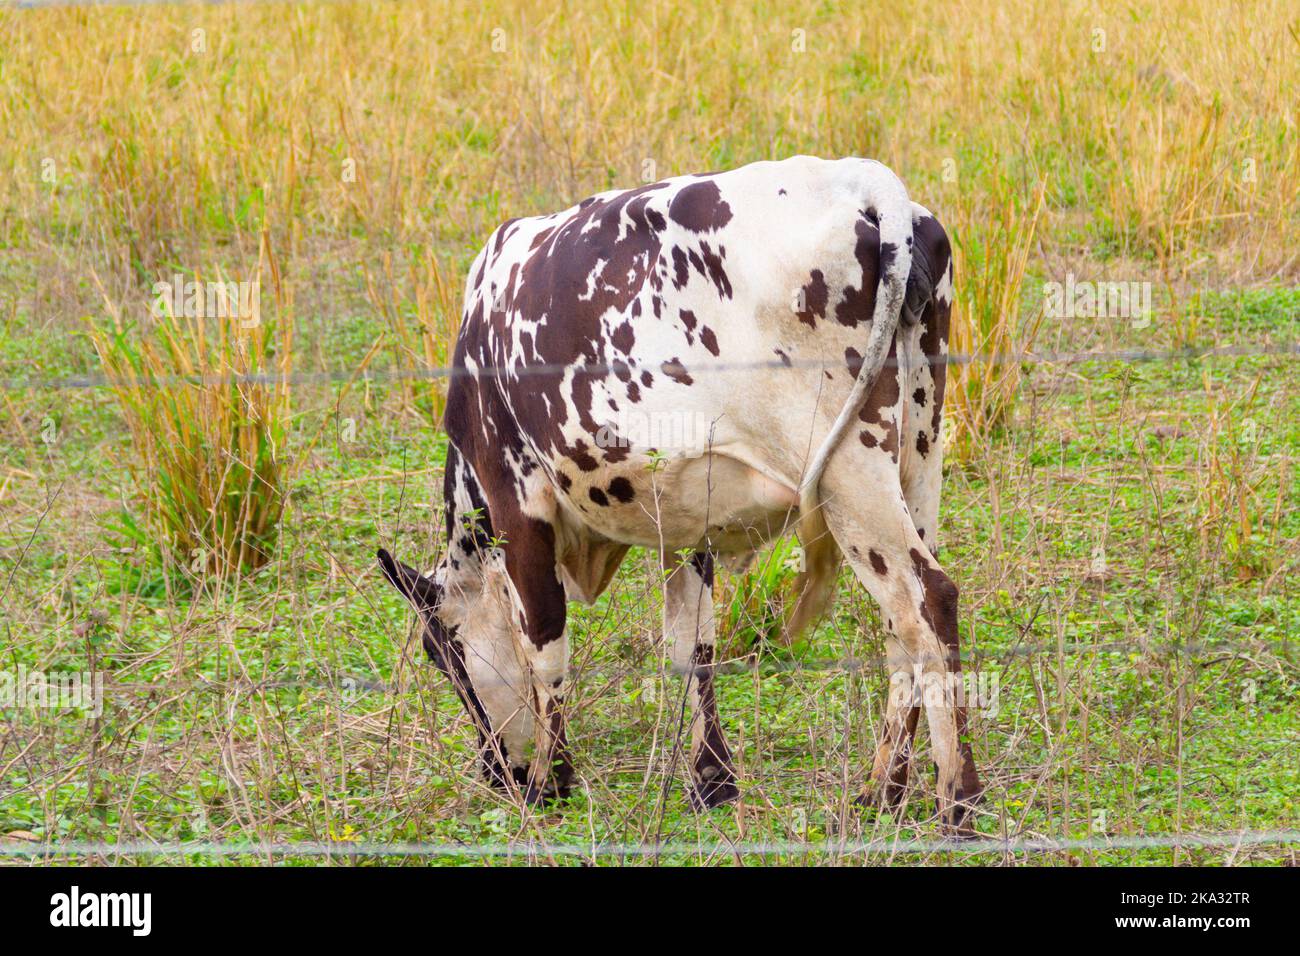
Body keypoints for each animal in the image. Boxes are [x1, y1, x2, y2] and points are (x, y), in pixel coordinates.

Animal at [377, 155, 983, 833]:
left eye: (441, 654)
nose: (493, 772)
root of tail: (864, 183)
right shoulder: (687, 517)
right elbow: (690, 644)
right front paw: (711, 780)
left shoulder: (518, 501)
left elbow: (545, 646)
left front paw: (551, 782)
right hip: (918, 457)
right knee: (899, 623)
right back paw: (883, 790)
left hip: (848, 473)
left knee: (929, 602)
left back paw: (957, 802)